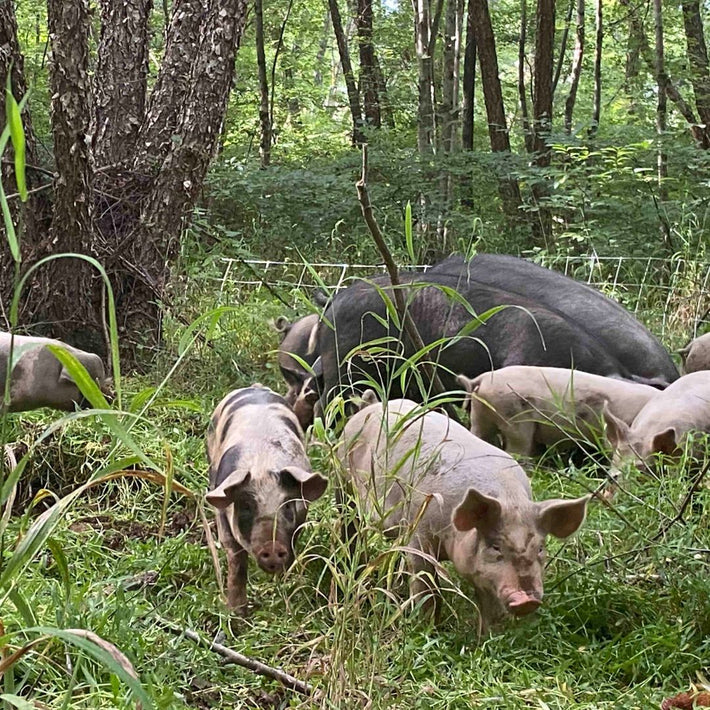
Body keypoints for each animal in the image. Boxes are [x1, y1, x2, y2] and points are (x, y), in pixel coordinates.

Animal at [205, 384, 327, 613]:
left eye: (287, 506)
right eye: (245, 506)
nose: (272, 546)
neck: (262, 466)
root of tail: (256, 387)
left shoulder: (301, 516)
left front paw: (283, 582)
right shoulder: (222, 513)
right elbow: (236, 560)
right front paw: (237, 613)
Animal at [338, 399, 589, 631]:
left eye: (540, 548)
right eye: (495, 546)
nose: (527, 600)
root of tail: (371, 406)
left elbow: (488, 604)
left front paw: (487, 637)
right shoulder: (419, 531)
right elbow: (425, 584)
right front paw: (426, 627)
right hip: (343, 481)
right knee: (350, 525)